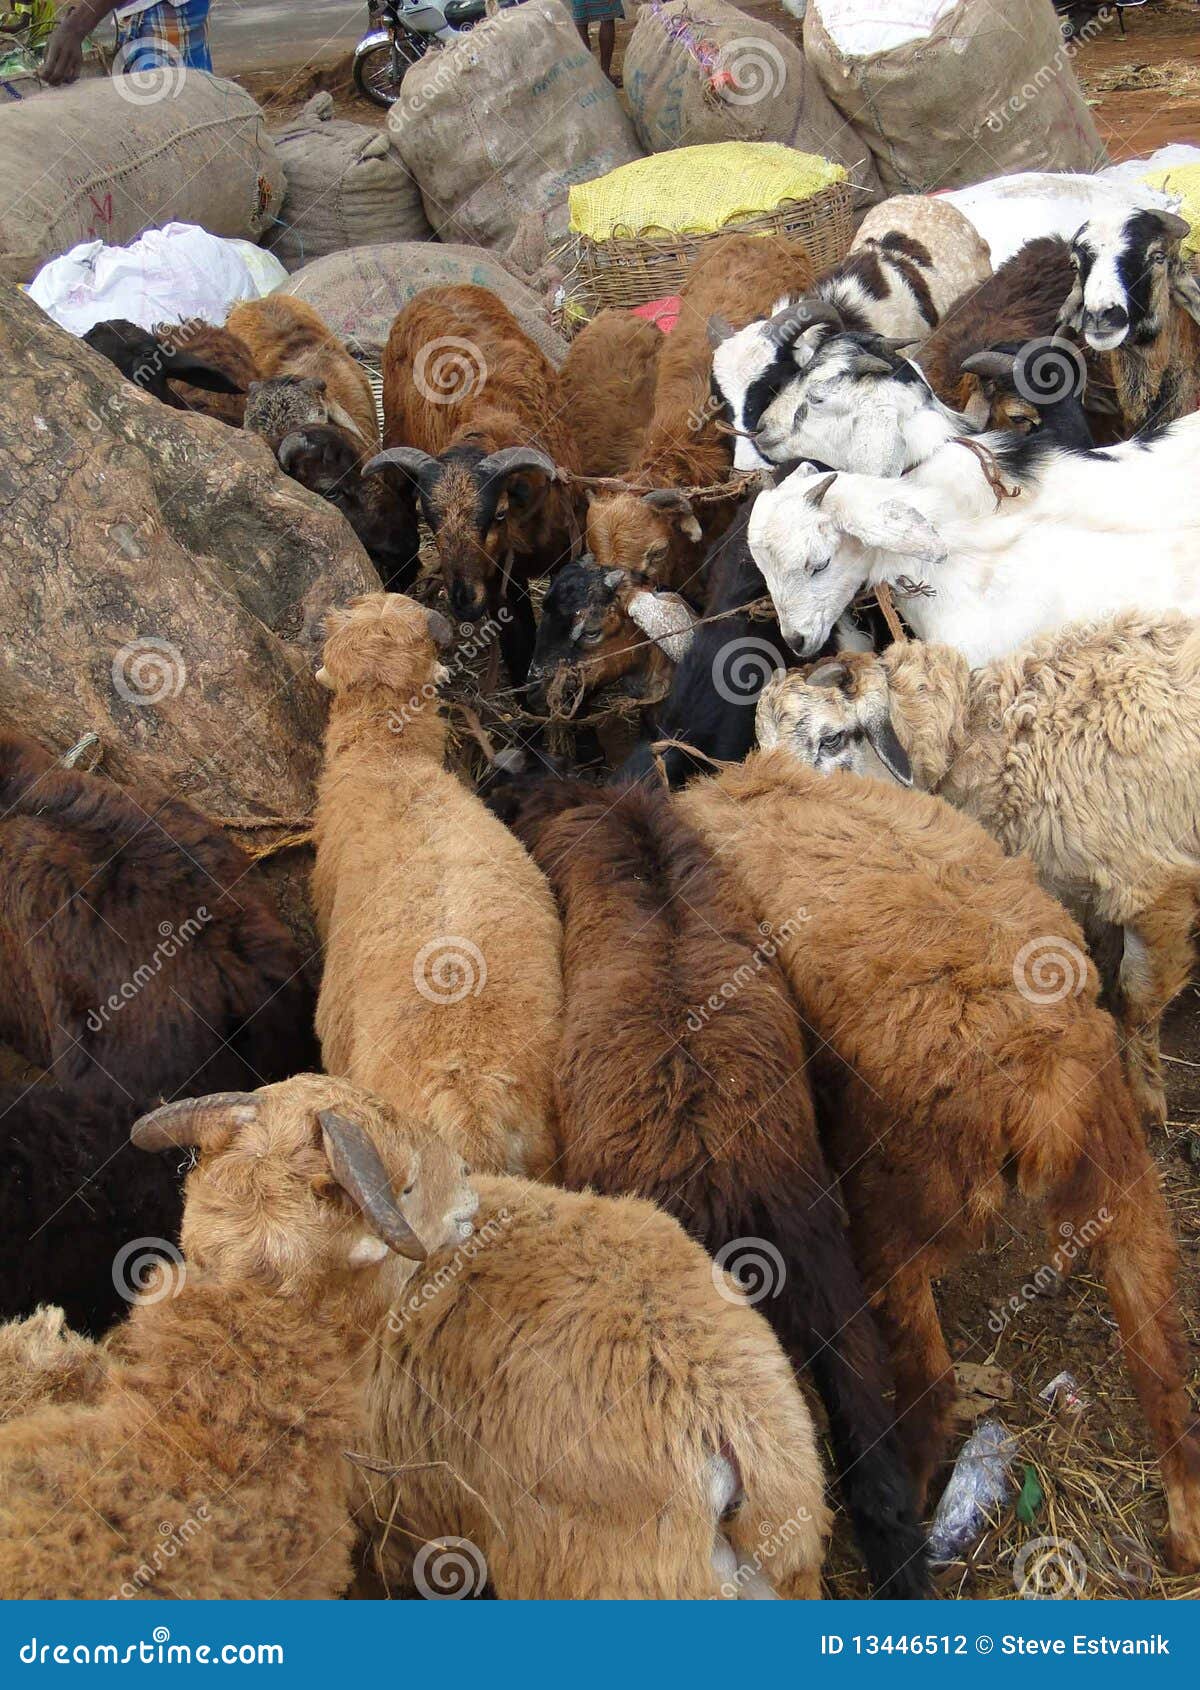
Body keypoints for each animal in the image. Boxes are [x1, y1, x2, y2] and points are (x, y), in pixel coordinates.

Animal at [370, 285, 582, 682]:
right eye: (431, 519)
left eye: (498, 514)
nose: (464, 601)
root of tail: (432, 289)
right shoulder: (501, 584)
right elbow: (519, 649)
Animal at [679, 751, 1200, 1573]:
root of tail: (1042, 1078)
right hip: (1125, 1184)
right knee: (1164, 1368)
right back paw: (1185, 1534)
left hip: (891, 1213)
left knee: (931, 1386)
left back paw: (912, 1510)